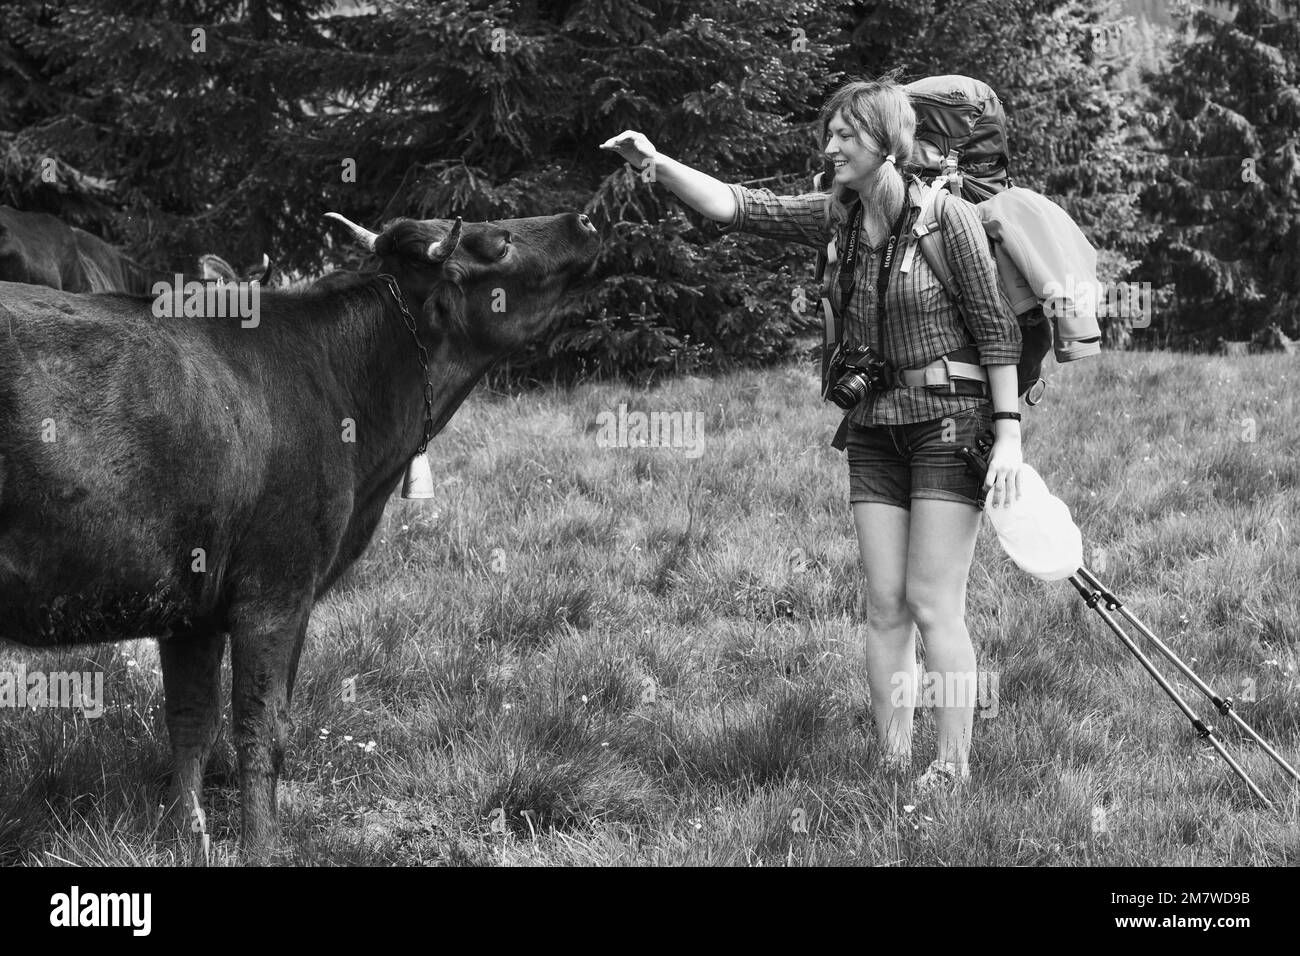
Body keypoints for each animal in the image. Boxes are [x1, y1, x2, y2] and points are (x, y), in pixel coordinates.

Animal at [0, 209, 600, 855]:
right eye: (501, 242)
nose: (583, 218)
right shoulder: (278, 587)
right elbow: (262, 727)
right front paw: (261, 846)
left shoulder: (191, 605)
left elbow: (191, 721)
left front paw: (188, 836)